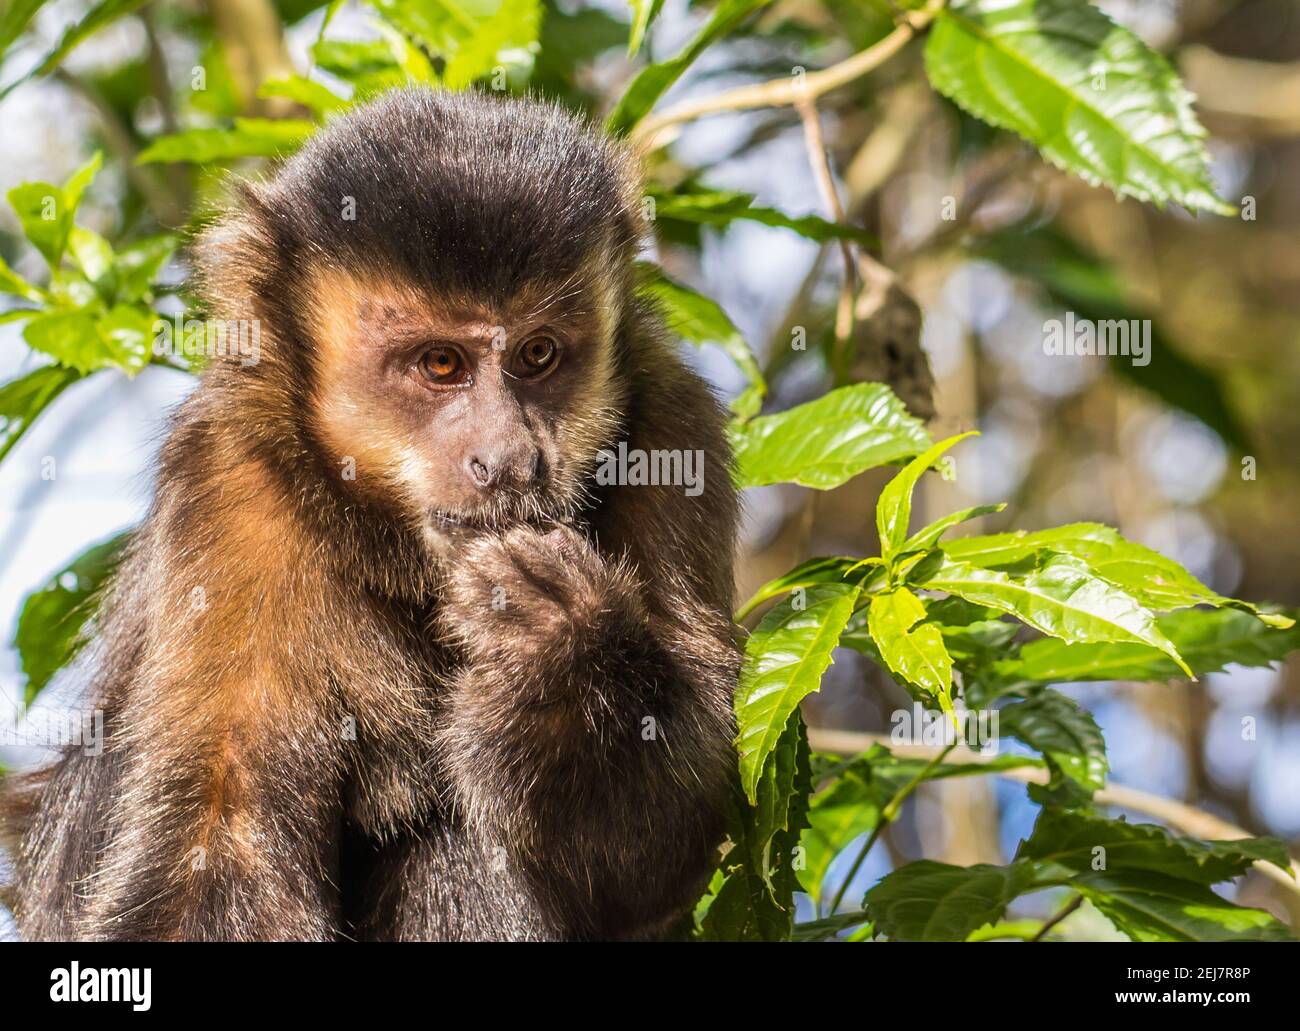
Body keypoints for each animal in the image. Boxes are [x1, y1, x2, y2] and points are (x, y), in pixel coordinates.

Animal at [0, 88, 741, 941]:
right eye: (442, 364)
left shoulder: (675, 422)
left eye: (538, 355)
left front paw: (563, 652)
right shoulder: (228, 472)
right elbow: (215, 844)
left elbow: (660, 852)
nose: (509, 458)